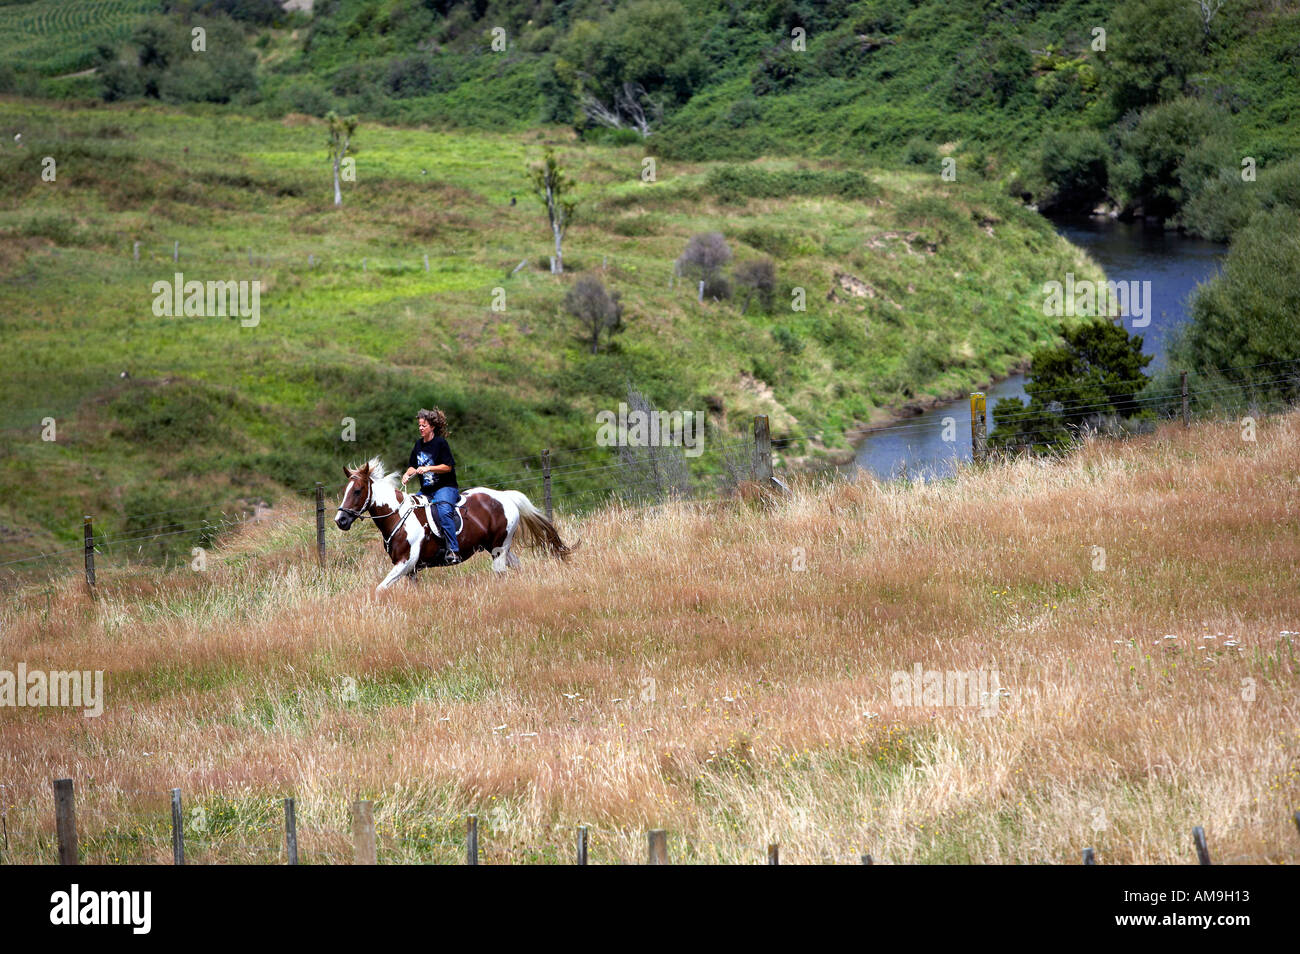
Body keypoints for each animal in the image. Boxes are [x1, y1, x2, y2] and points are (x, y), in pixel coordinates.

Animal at [333, 457, 575, 591]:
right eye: (345, 490)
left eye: (357, 490)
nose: (340, 520)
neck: (397, 517)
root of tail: (505, 496)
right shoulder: (411, 570)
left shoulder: (405, 563)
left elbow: (380, 589)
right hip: (498, 547)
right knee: (516, 566)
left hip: (498, 549)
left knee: (501, 574)